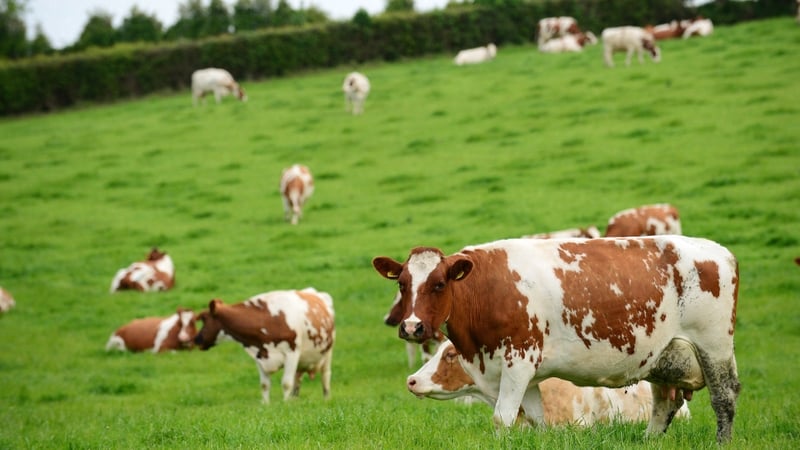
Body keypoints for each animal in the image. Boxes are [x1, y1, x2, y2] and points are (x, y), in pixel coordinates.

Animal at [193, 288, 335, 403]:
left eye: (204, 320)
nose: (196, 339)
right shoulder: (260, 355)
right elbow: (265, 384)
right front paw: (266, 404)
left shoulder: (292, 353)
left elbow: (286, 383)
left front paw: (285, 403)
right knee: (298, 378)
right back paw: (294, 399)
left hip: (327, 352)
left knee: (325, 376)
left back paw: (326, 399)